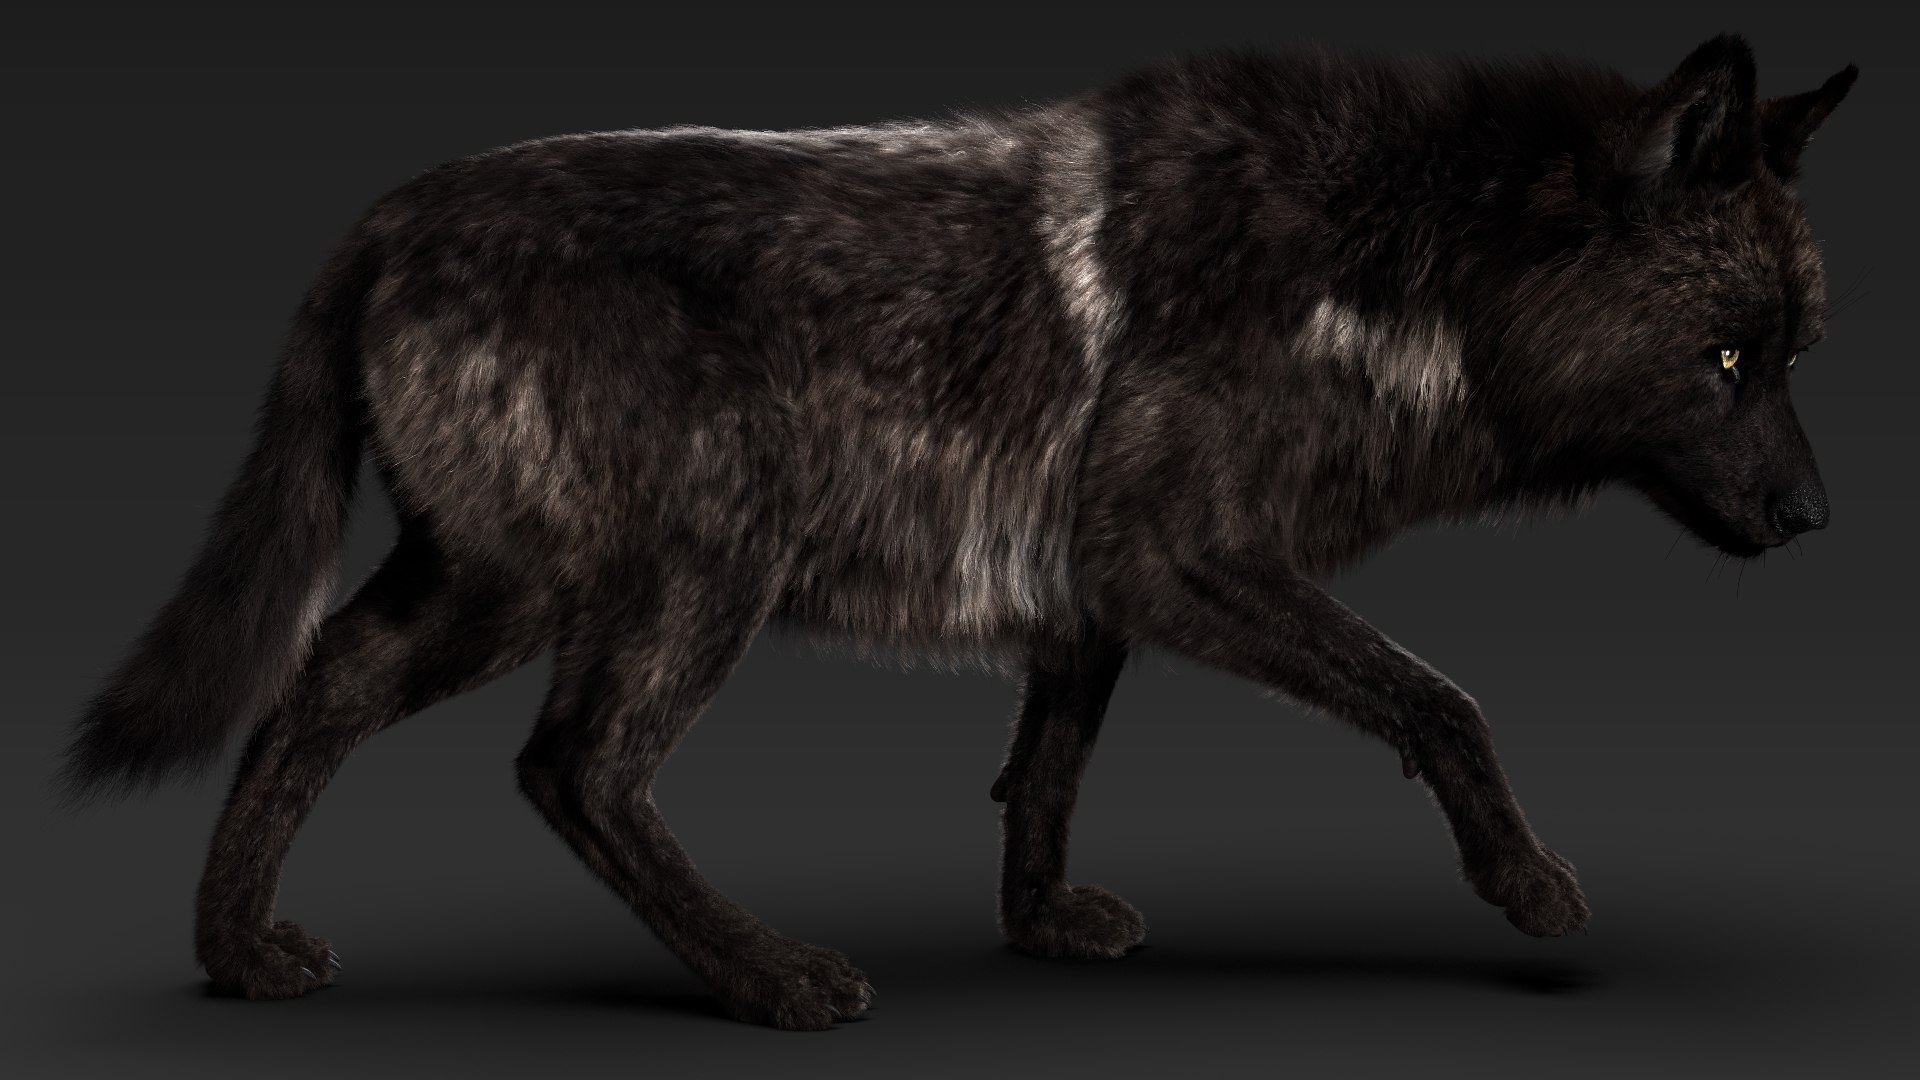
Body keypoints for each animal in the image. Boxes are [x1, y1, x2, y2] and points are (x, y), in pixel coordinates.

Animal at [63, 32, 1856, 1028]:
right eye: (1728, 359)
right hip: (680, 570)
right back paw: (770, 981)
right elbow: (1442, 700)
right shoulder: (1179, 556)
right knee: (568, 766)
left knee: (317, 690)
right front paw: (1528, 884)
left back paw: (237, 954)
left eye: (1793, 354)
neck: (1403, 269)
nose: (1818, 516)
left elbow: (1044, 771)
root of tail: (379, 218)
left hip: (487, 587)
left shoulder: (1093, 594)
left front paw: (1040, 925)